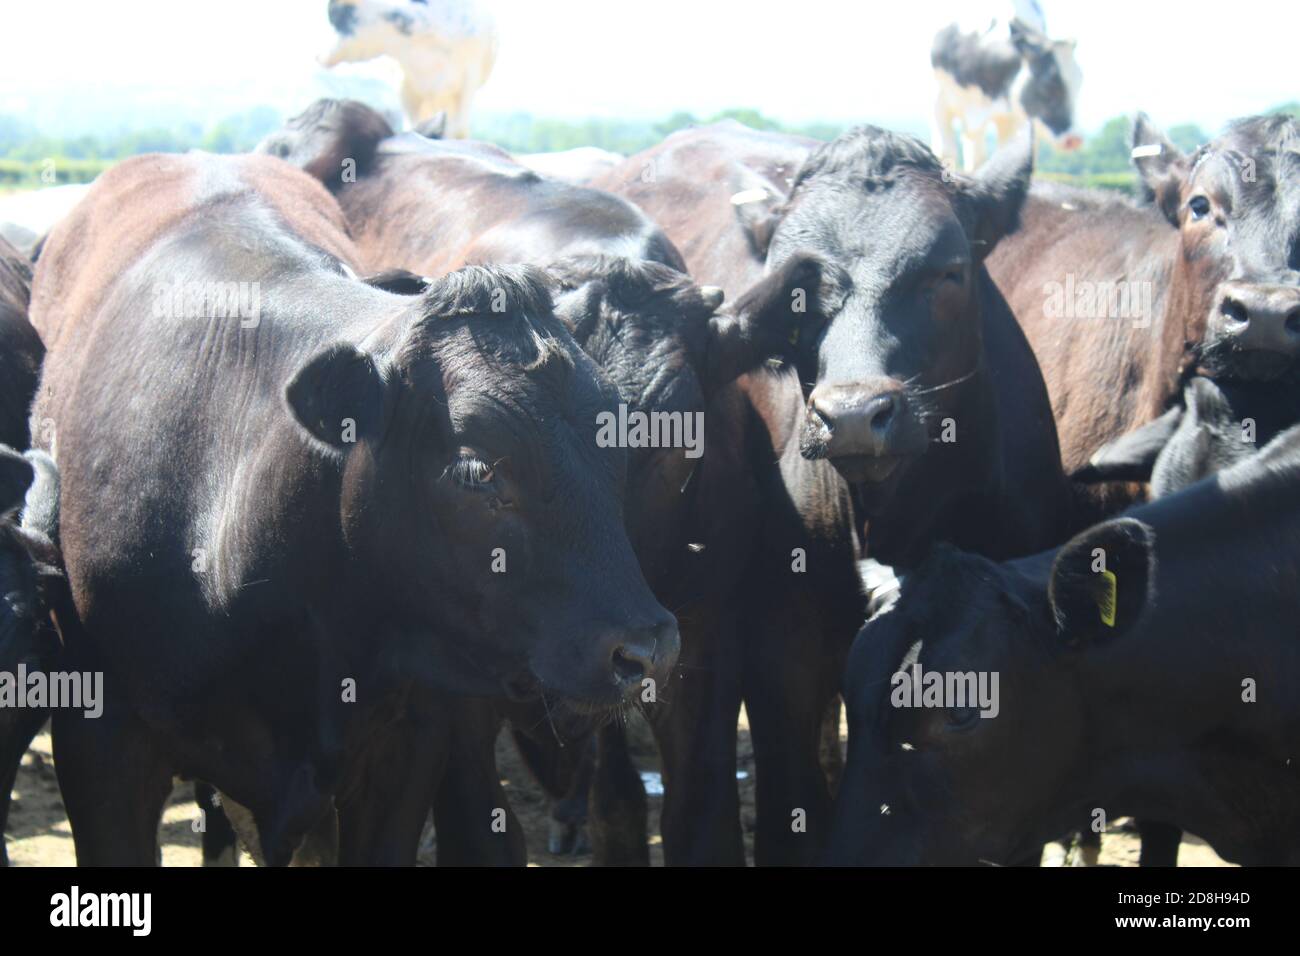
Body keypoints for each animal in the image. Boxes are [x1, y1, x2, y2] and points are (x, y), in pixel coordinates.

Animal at [323, 0, 497, 137]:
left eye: (336, 15)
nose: (319, 54)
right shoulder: (406, 86)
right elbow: (413, 125)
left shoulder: (468, 78)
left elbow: (458, 129)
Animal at [591, 121, 1073, 863]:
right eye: (801, 291)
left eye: (948, 272)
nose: (851, 414)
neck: (897, 518)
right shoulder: (779, 647)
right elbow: (793, 805)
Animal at [931, 16, 1082, 173]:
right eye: (1049, 84)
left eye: (1080, 82)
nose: (1075, 139)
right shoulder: (939, 98)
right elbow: (946, 151)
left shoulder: (1011, 119)